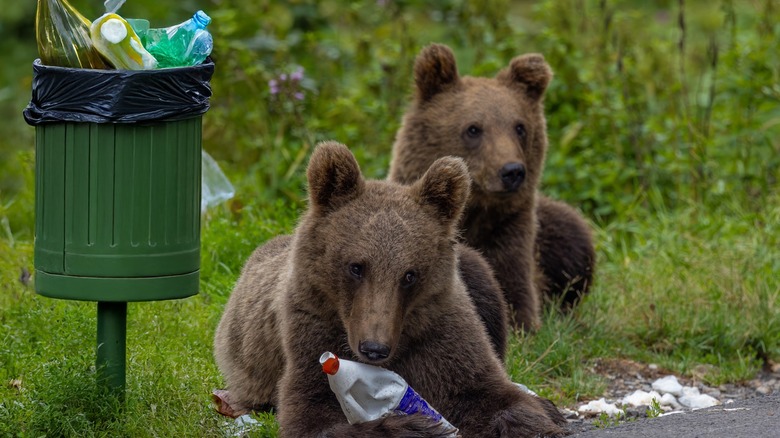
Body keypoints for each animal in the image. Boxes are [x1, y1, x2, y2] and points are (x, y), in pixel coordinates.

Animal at [213, 141, 568, 437]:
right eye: (356, 266)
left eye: (410, 275)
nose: (374, 347)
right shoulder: (311, 333)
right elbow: (313, 416)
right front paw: (413, 427)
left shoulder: (441, 333)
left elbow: (484, 388)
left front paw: (534, 419)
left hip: (477, 273)